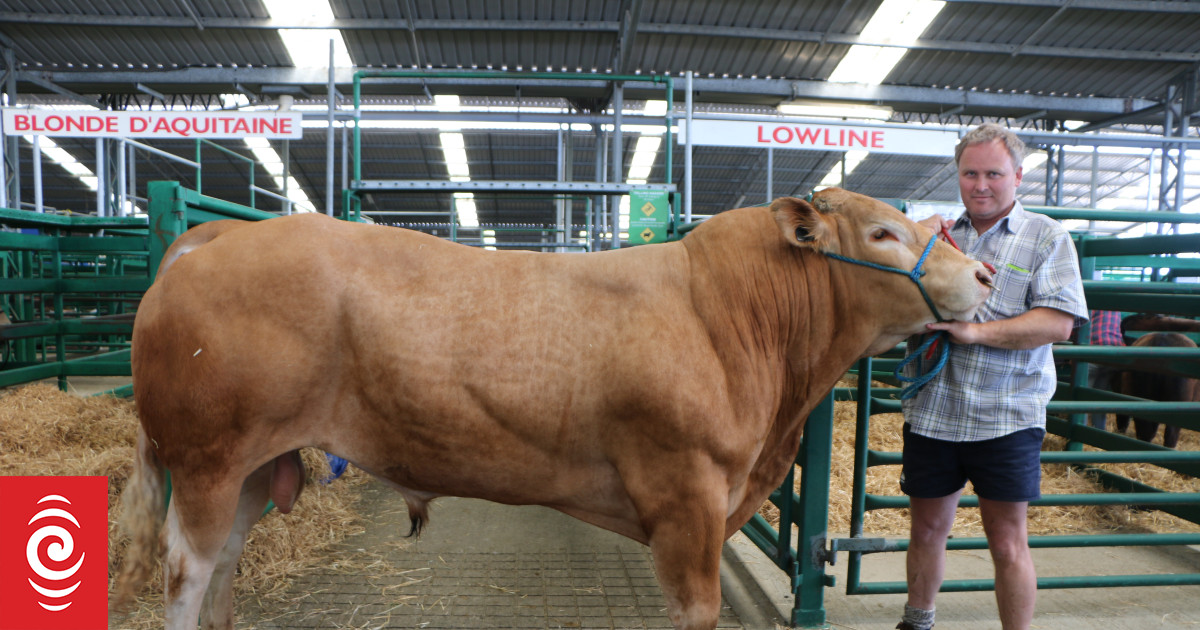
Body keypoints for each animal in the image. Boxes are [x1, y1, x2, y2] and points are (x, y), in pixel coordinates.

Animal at [112, 188, 992, 630]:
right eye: (883, 232)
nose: (984, 275)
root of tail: (214, 238)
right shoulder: (688, 495)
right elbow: (697, 611)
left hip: (253, 464)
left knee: (224, 564)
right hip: (208, 456)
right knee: (187, 572)